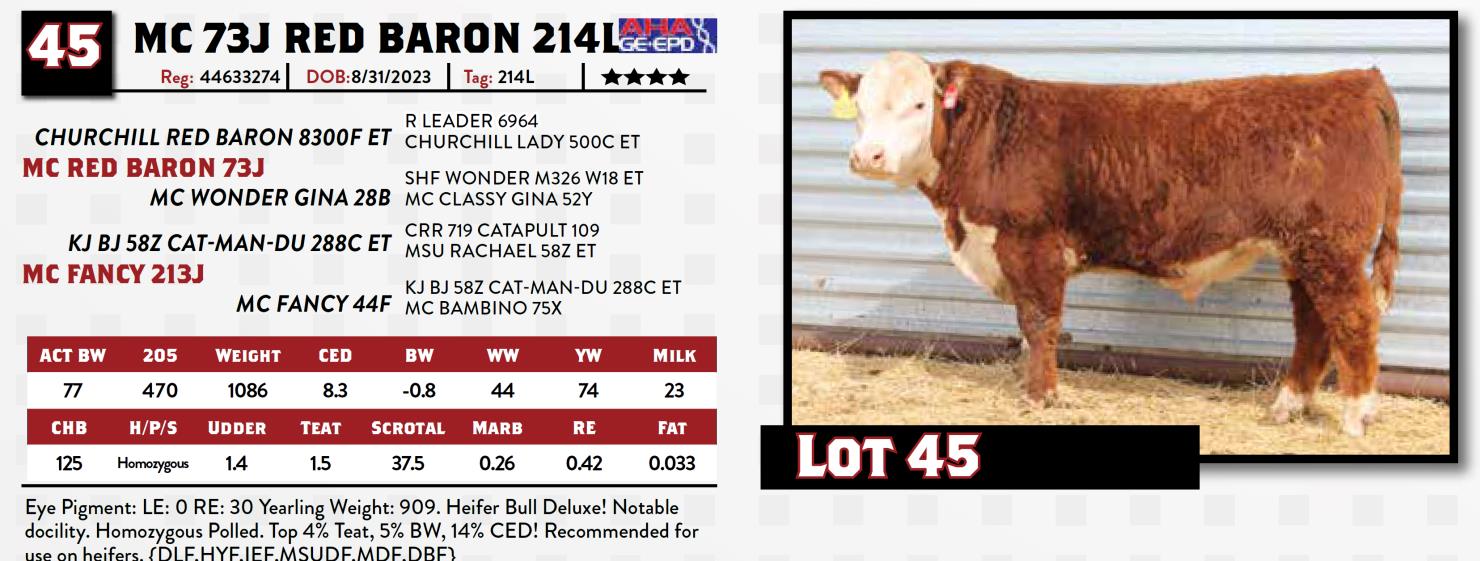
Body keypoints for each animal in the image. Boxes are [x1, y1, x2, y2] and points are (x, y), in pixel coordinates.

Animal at [818, 52, 1403, 436]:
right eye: (861, 107)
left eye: (920, 104)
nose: (867, 156)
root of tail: (1357, 80)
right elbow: (1030, 329)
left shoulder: (1031, 244)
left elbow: (1039, 323)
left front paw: (1041, 396)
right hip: (1302, 251)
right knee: (1313, 325)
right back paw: (1287, 406)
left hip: (1330, 248)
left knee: (1353, 320)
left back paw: (1357, 415)